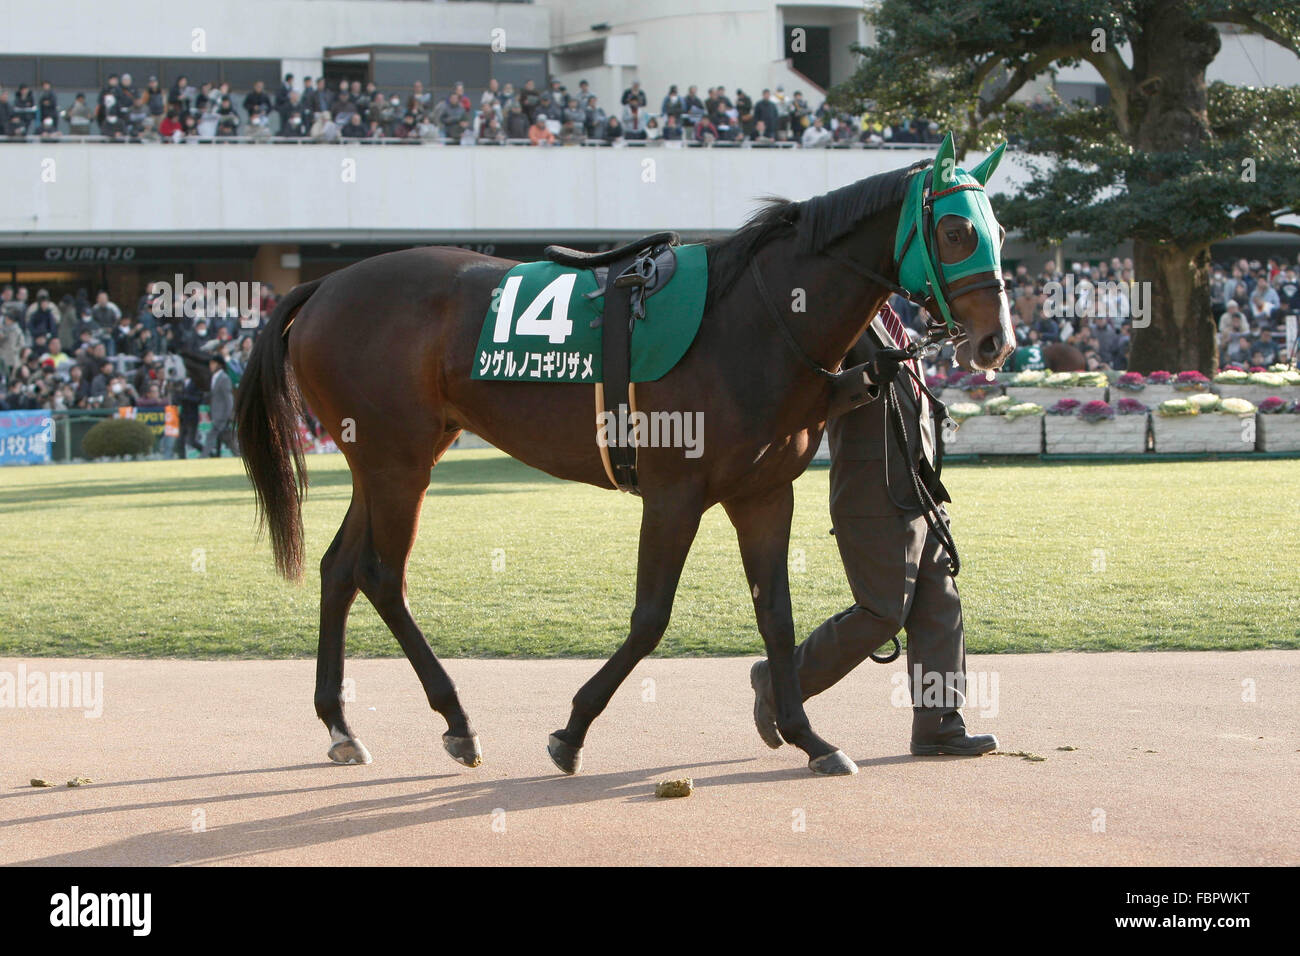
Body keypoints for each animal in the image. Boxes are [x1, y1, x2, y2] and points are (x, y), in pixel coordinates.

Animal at [235, 135, 1015, 776]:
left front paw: (807, 737)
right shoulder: (675, 494)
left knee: (340, 568)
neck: (756, 319)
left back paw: (340, 725)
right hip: (398, 463)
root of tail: (323, 284)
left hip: (387, 460)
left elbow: (776, 615)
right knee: (380, 574)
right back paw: (456, 720)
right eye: (954, 230)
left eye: (1001, 232)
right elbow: (651, 617)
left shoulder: (764, 492)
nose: (995, 341)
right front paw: (572, 731)